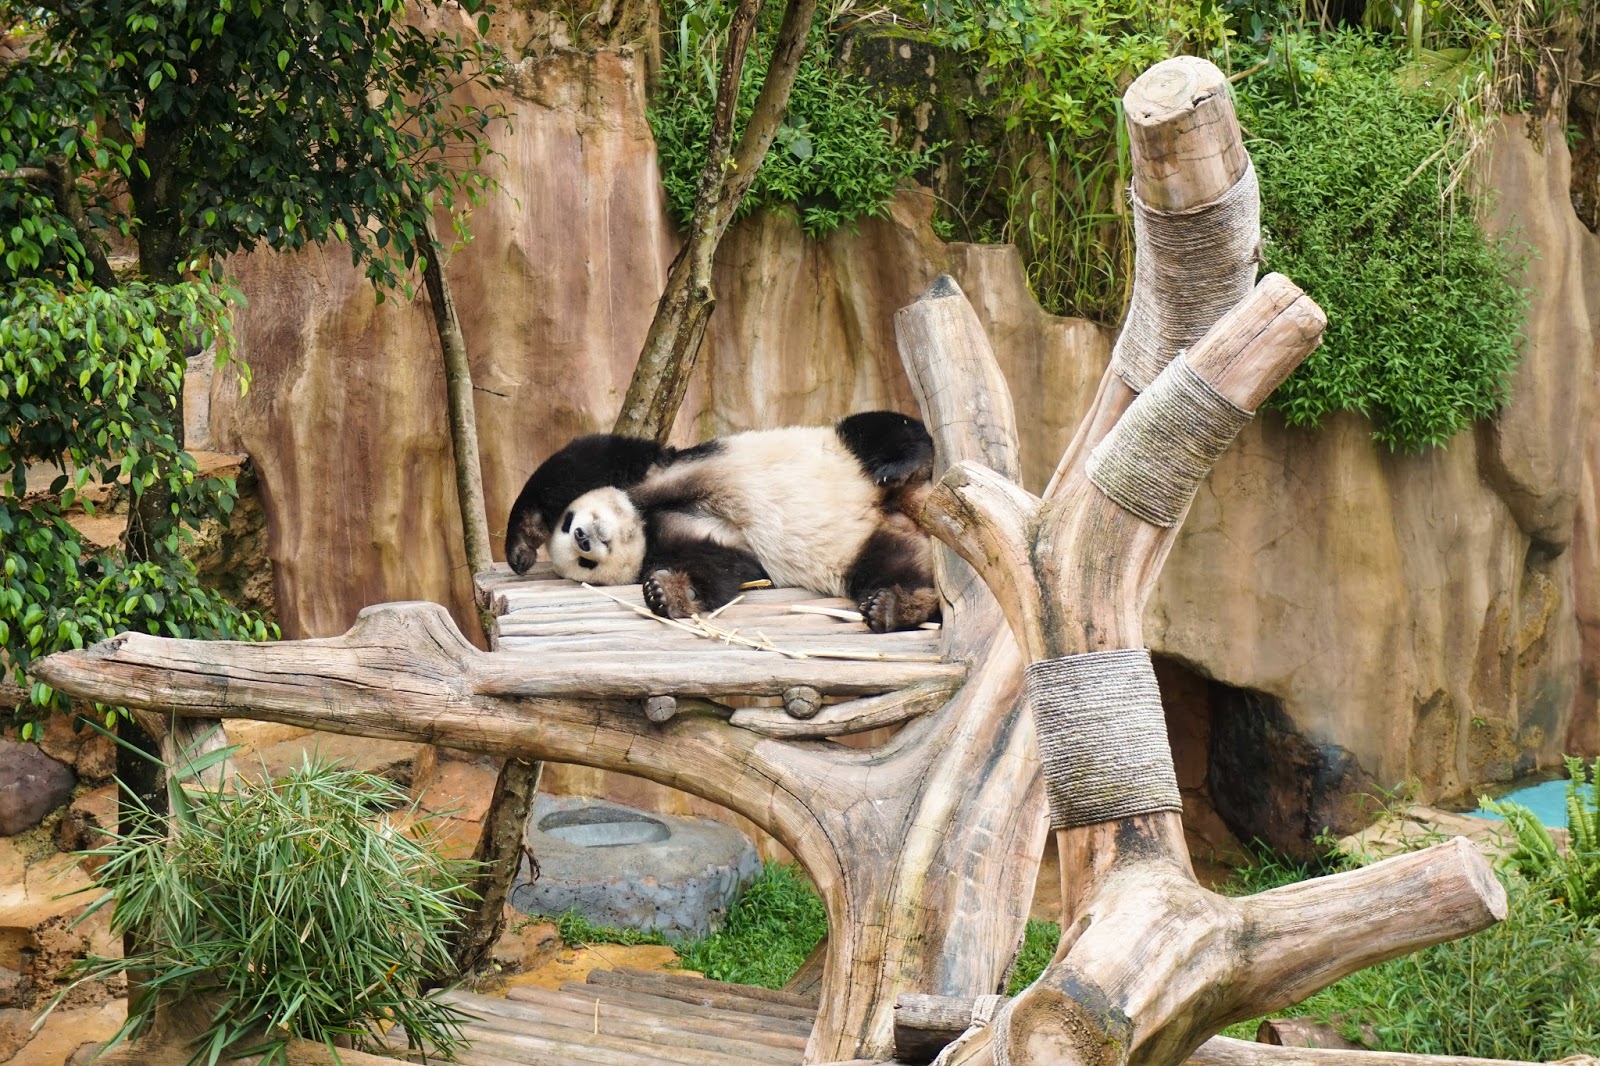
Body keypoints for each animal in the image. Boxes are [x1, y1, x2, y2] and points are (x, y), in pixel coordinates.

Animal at [504, 411, 940, 633]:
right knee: (892, 567)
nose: (583, 538)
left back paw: (902, 466)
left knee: (878, 431)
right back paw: (897, 606)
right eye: (585, 564)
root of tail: (893, 509)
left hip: (844, 453)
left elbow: (587, 460)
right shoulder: (680, 542)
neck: (643, 521)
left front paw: (521, 546)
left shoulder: (651, 474)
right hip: (864, 549)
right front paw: (667, 593)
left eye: (568, 524)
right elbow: (731, 567)